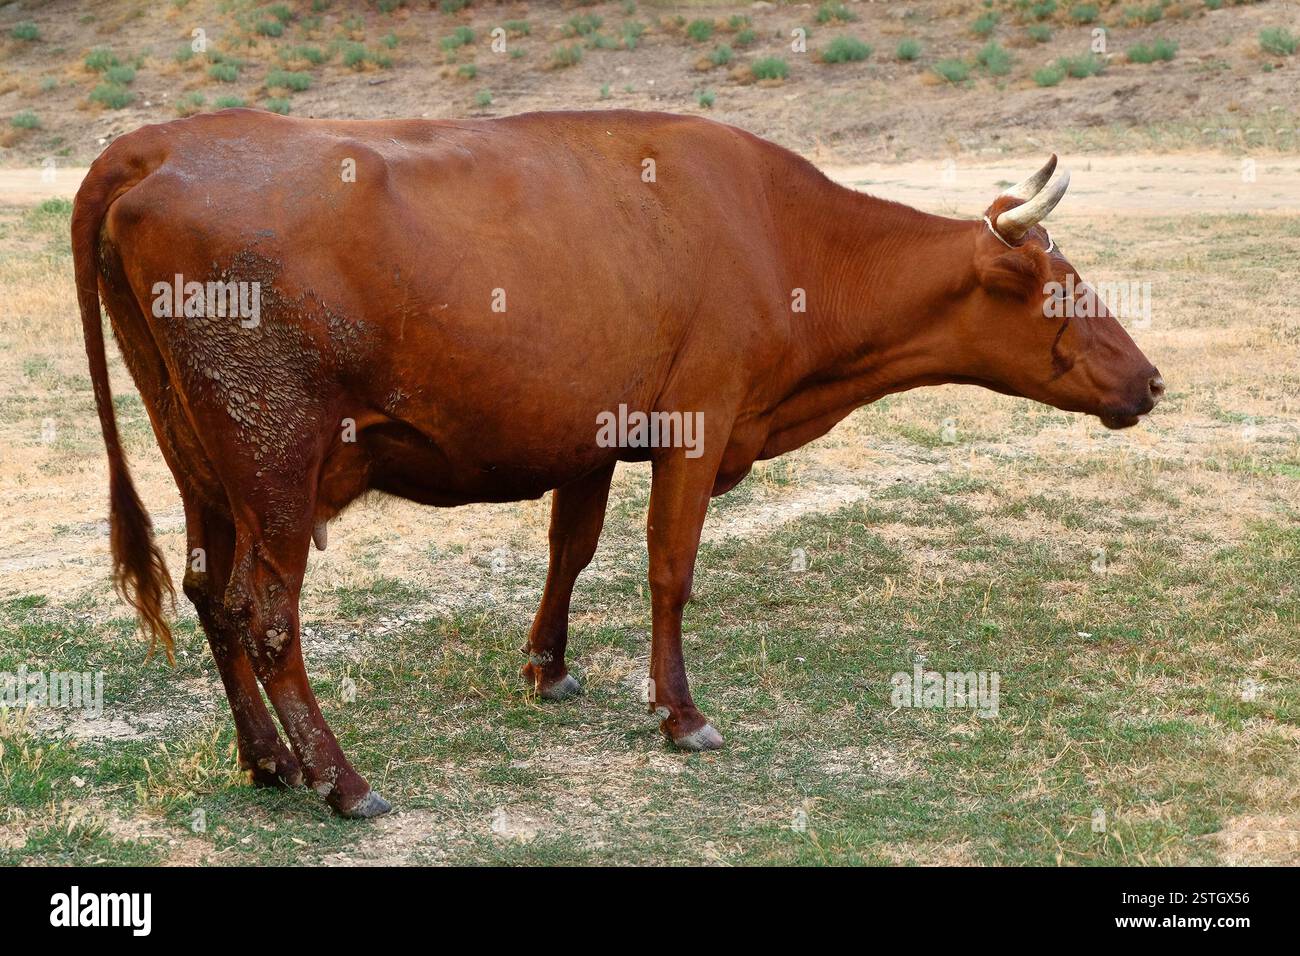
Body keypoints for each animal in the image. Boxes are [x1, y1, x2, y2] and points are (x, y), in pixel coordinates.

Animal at [72, 109, 1162, 818]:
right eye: (1062, 286)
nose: (1150, 380)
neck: (780, 233)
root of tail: (154, 145)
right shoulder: (699, 420)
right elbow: (668, 568)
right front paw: (681, 714)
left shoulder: (592, 429)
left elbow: (573, 548)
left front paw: (548, 667)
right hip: (276, 451)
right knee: (264, 612)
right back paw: (342, 780)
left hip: (201, 458)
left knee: (211, 595)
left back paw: (267, 761)